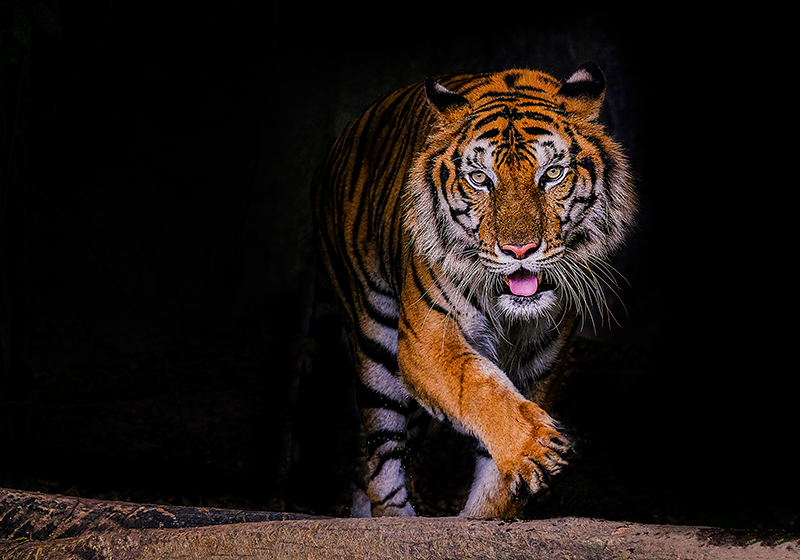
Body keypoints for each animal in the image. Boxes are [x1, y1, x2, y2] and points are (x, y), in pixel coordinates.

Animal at [311, 63, 636, 518]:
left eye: (552, 174)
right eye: (480, 179)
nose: (519, 250)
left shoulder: (543, 357)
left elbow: (497, 468)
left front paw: (487, 512)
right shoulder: (427, 338)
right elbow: (481, 388)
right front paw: (537, 450)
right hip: (376, 344)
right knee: (382, 455)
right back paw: (394, 518)